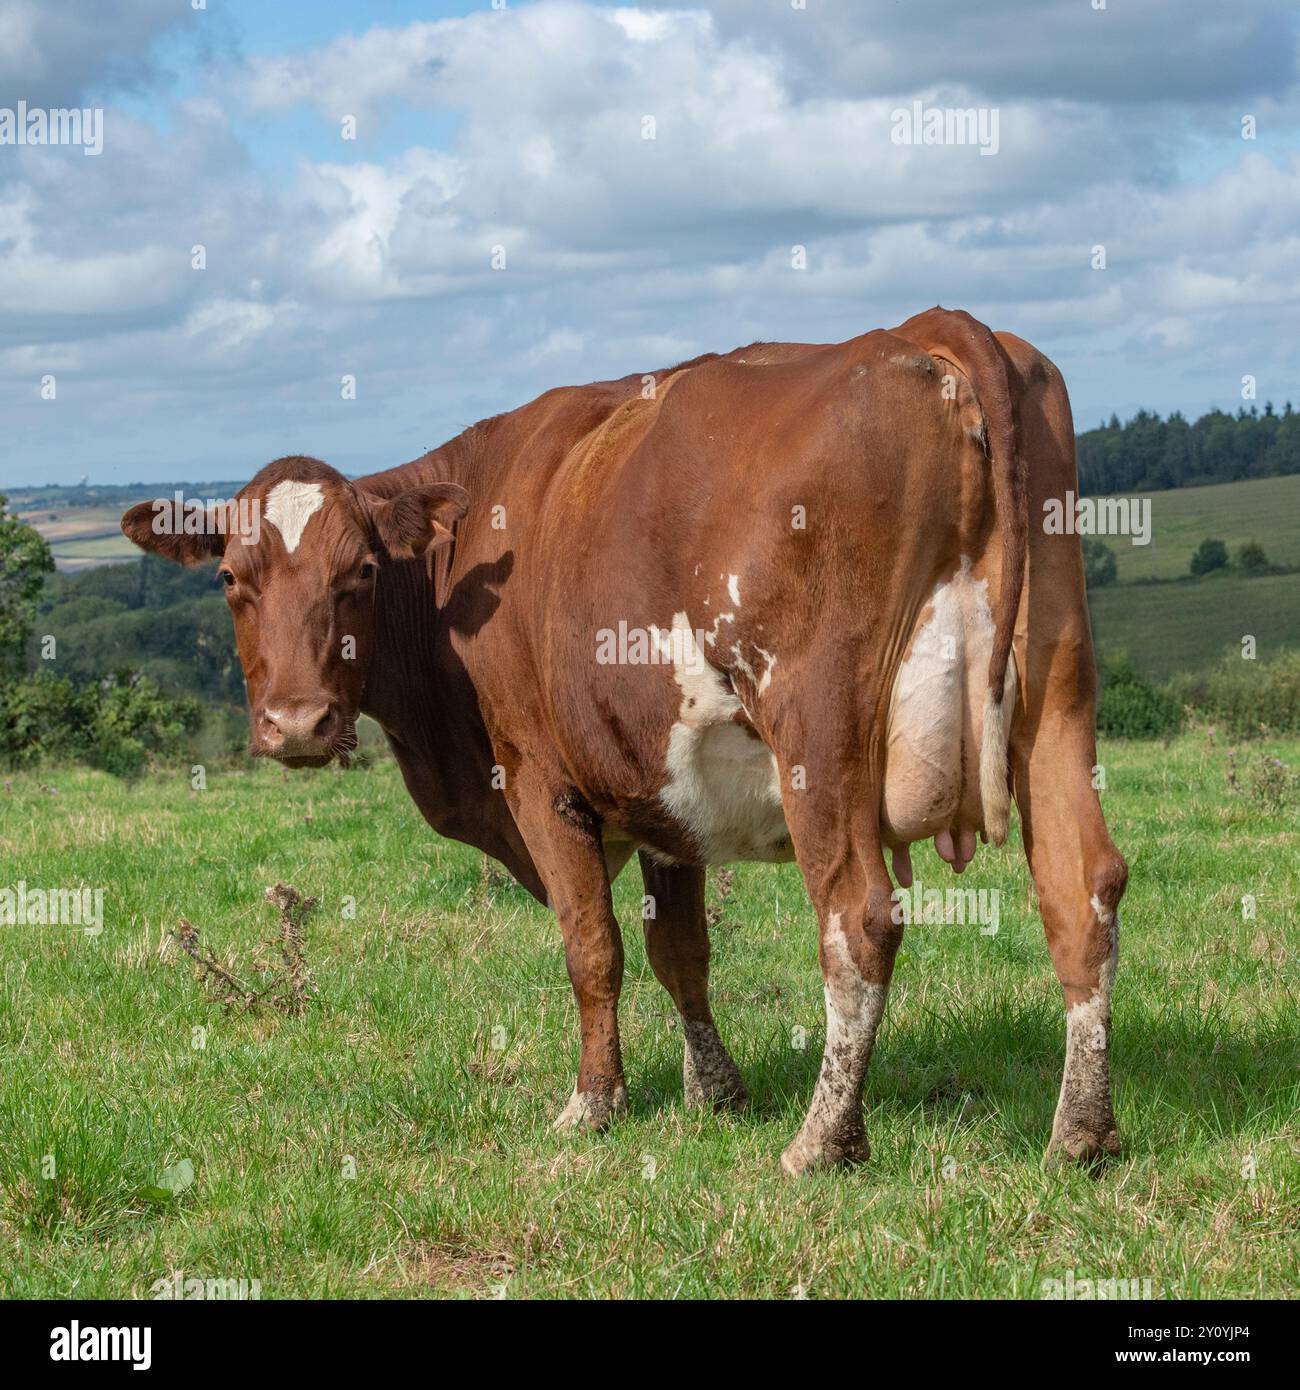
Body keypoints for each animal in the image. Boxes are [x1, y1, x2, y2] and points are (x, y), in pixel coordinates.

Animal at [122, 306, 1126, 1175]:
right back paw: (1081, 1133)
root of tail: (923, 329)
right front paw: (713, 1090)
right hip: (1056, 690)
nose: (296, 724)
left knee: (859, 918)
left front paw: (593, 1103)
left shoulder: (538, 775)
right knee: (1081, 887)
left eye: (361, 571)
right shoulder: (656, 783)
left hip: (818, 719)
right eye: (230, 577)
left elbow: (592, 946)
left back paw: (823, 1141)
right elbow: (677, 948)